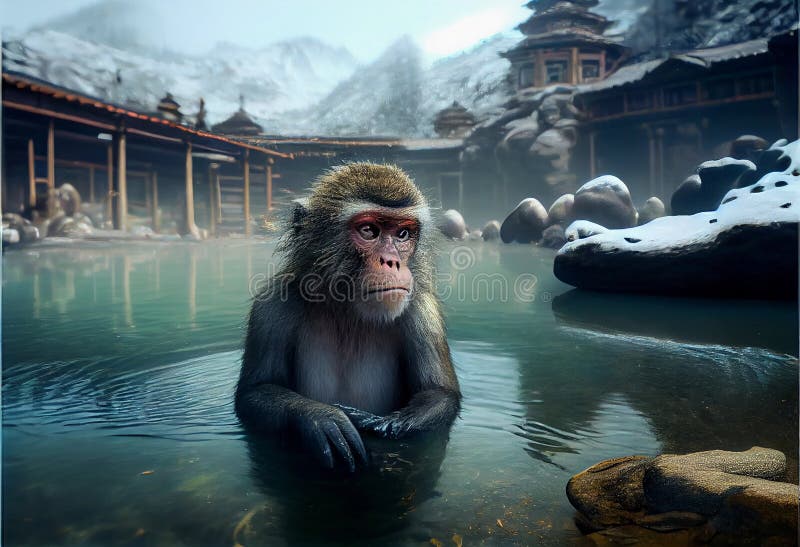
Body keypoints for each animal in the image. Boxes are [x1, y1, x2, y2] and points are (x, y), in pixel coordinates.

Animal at [235, 163, 461, 471]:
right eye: (369, 230)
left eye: (403, 234)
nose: (392, 261)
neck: (348, 310)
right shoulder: (272, 305)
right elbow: (254, 392)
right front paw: (318, 417)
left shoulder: (423, 311)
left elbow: (440, 394)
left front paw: (384, 426)